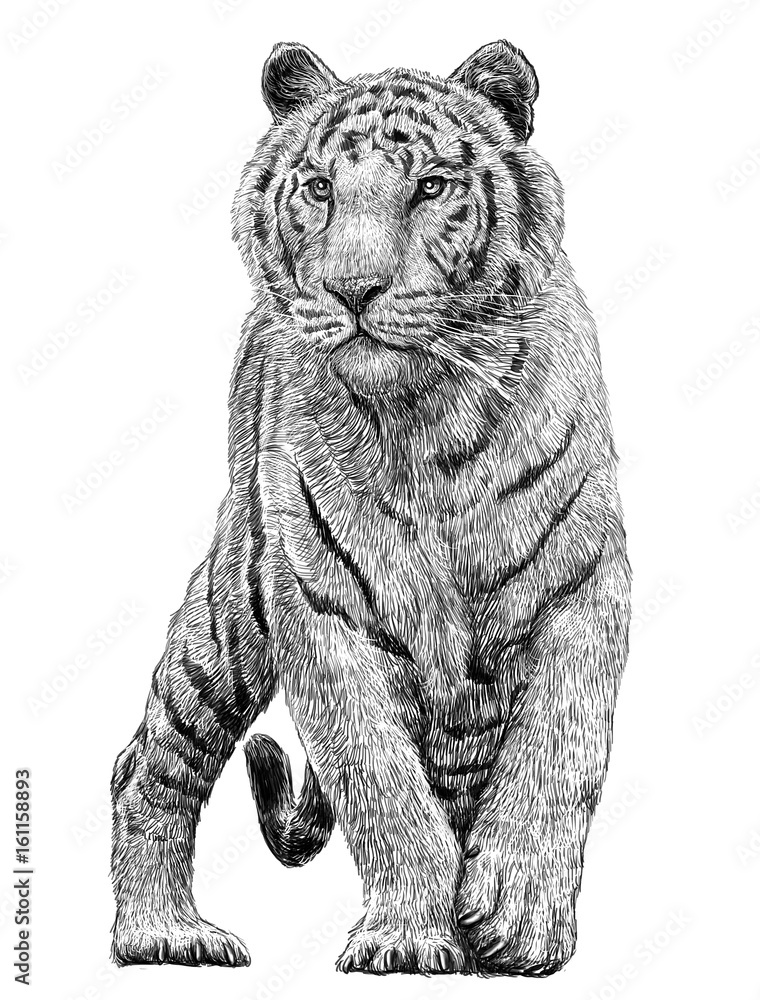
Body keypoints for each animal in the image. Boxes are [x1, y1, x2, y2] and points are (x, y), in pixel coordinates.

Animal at [110, 39, 631, 977]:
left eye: (431, 186)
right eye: (320, 187)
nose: (353, 290)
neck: (427, 427)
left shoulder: (585, 587)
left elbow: (557, 753)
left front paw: (519, 918)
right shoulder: (319, 613)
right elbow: (379, 783)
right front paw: (412, 937)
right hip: (236, 605)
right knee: (149, 758)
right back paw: (163, 933)